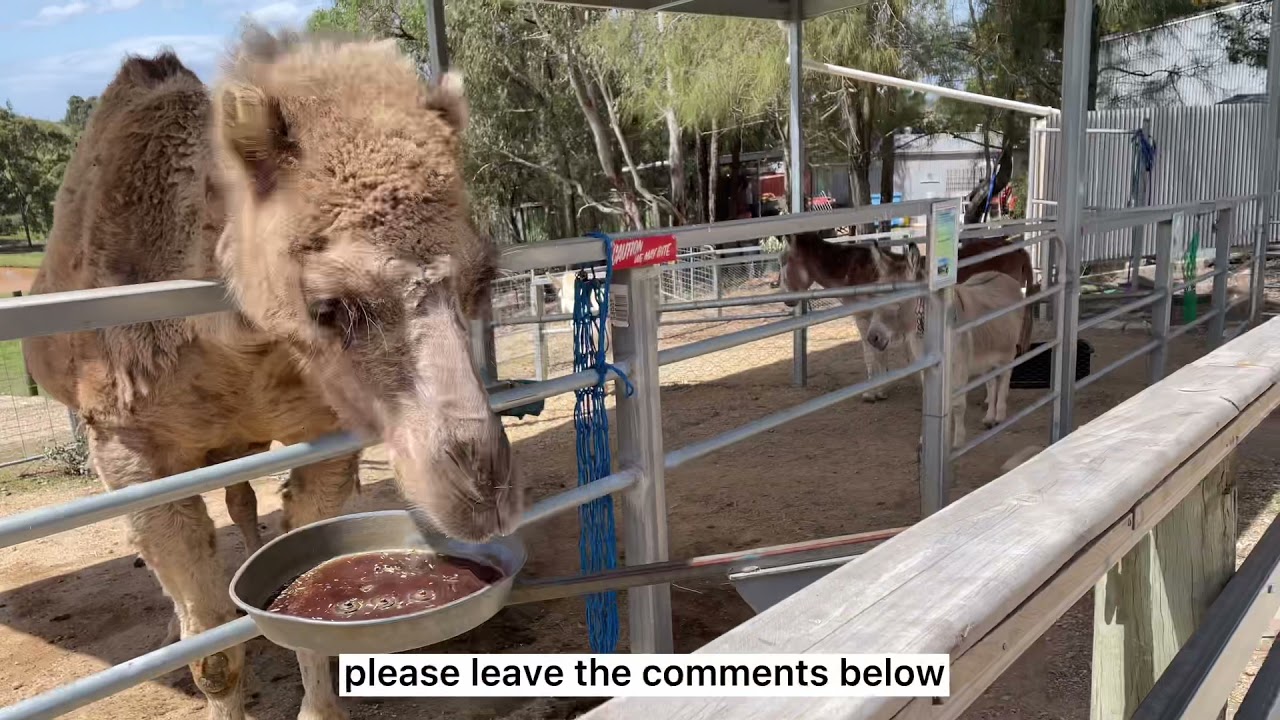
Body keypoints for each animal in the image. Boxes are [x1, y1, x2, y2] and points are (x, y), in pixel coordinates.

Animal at [21, 26, 522, 720]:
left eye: (485, 279)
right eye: (329, 305)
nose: (482, 488)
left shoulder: (323, 430)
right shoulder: (127, 445)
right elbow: (211, 658)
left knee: (239, 500)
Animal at [777, 232, 1036, 402]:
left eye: (782, 261)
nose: (786, 300)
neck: (852, 273)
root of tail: (1020, 249)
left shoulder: (866, 319)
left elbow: (871, 354)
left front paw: (874, 391)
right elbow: (879, 352)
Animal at [863, 244, 1027, 446]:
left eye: (898, 303)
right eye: (875, 298)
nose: (872, 338)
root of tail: (1002, 276)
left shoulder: (959, 370)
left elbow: (958, 405)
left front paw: (957, 442)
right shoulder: (928, 370)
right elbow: (929, 405)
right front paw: (925, 440)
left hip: (1007, 352)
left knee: (1004, 378)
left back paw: (999, 416)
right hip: (986, 356)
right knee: (990, 382)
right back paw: (989, 418)